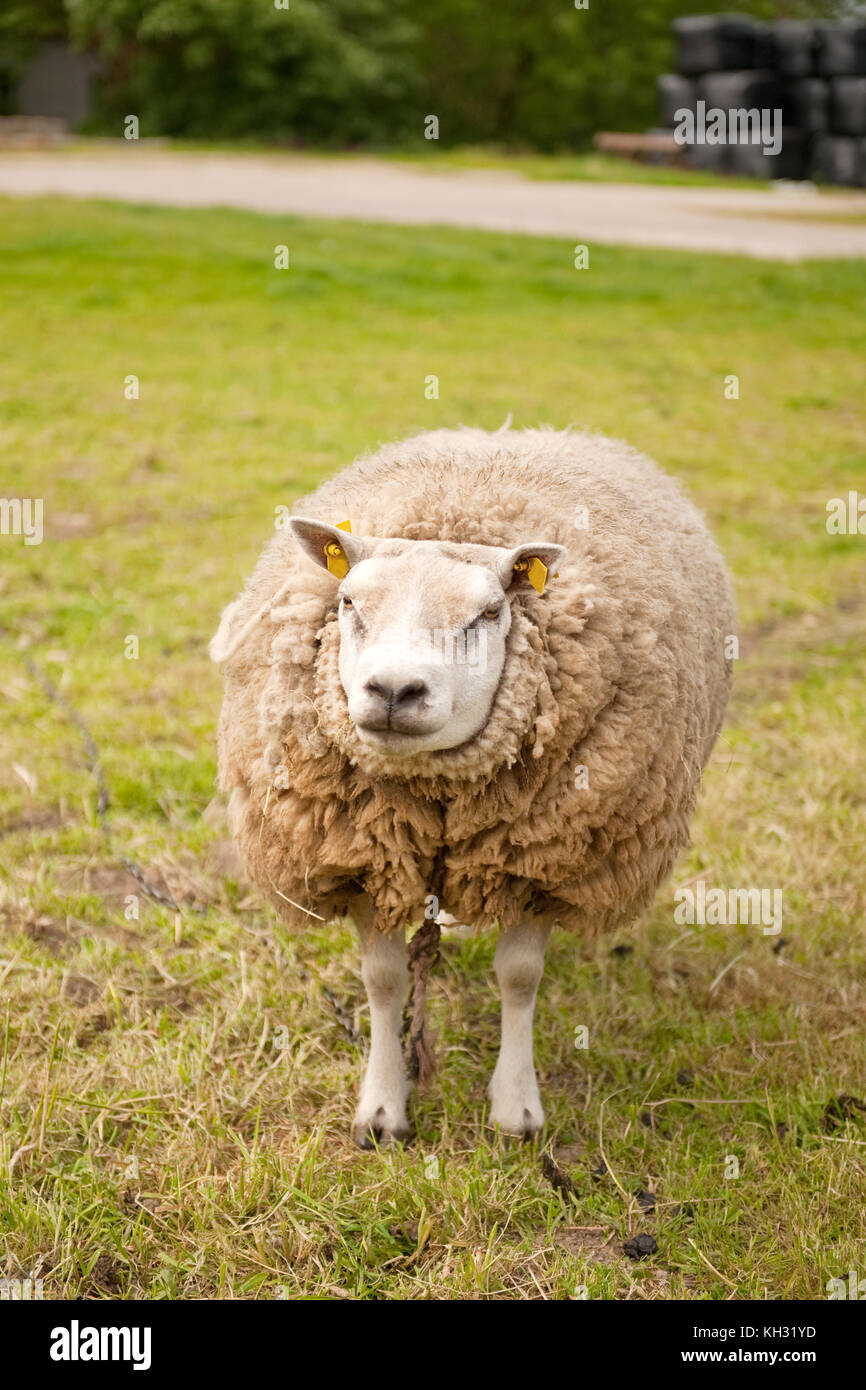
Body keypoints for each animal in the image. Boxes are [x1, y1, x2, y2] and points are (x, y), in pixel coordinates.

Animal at [210, 427, 735, 1145]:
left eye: (488, 613)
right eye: (348, 603)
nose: (394, 690)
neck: (437, 796)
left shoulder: (545, 861)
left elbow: (519, 977)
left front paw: (517, 1108)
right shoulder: (366, 858)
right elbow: (383, 980)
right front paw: (383, 1108)